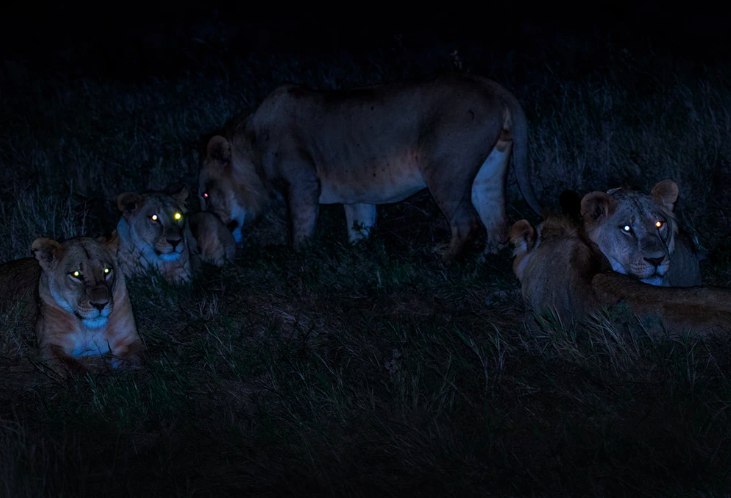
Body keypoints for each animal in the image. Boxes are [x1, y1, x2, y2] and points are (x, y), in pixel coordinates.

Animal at [0, 235, 145, 377]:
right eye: (76, 274)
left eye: (106, 271)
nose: (100, 304)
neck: (89, 328)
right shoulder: (50, 346)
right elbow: (74, 369)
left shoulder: (129, 340)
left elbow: (136, 360)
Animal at [199, 72, 542, 259]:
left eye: (204, 194)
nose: (211, 226)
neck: (253, 142)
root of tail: (492, 86)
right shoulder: (357, 196)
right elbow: (359, 227)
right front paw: (357, 253)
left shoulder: (301, 184)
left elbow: (299, 228)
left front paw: (297, 258)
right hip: (490, 169)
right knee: (496, 221)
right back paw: (485, 261)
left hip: (444, 170)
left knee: (466, 222)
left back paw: (444, 261)